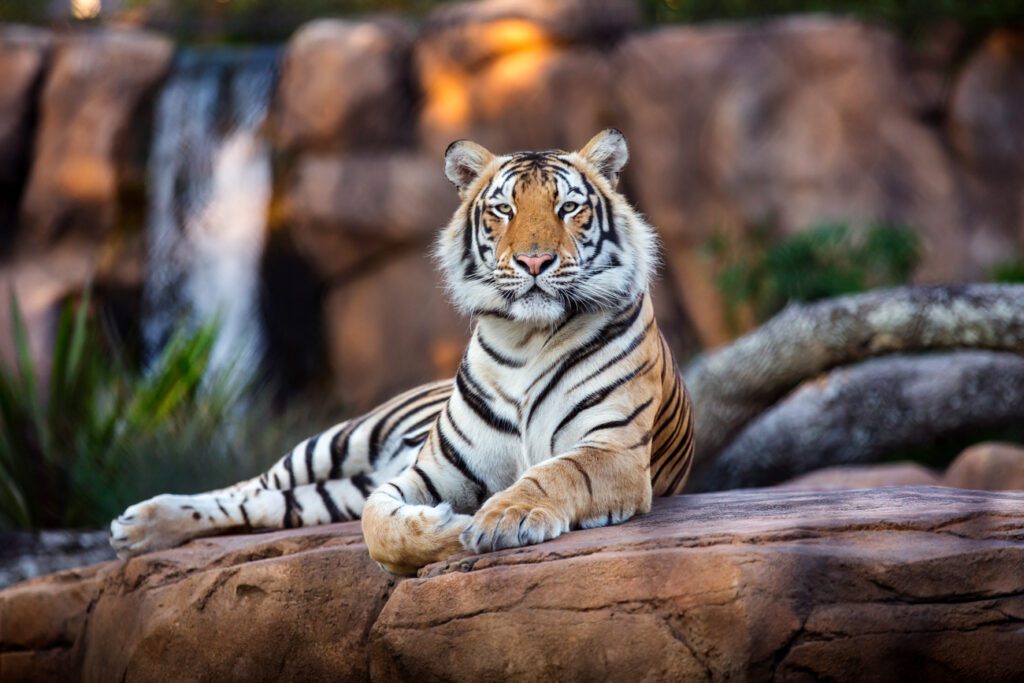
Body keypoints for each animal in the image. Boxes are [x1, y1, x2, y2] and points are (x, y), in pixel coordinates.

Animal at [110, 129, 695, 575]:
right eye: (503, 210)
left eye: (568, 208)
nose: (534, 262)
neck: (527, 338)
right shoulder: (433, 470)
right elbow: (377, 522)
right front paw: (446, 527)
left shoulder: (613, 448)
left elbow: (555, 473)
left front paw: (502, 517)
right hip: (338, 442)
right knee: (247, 487)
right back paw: (137, 524)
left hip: (329, 490)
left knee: (262, 504)